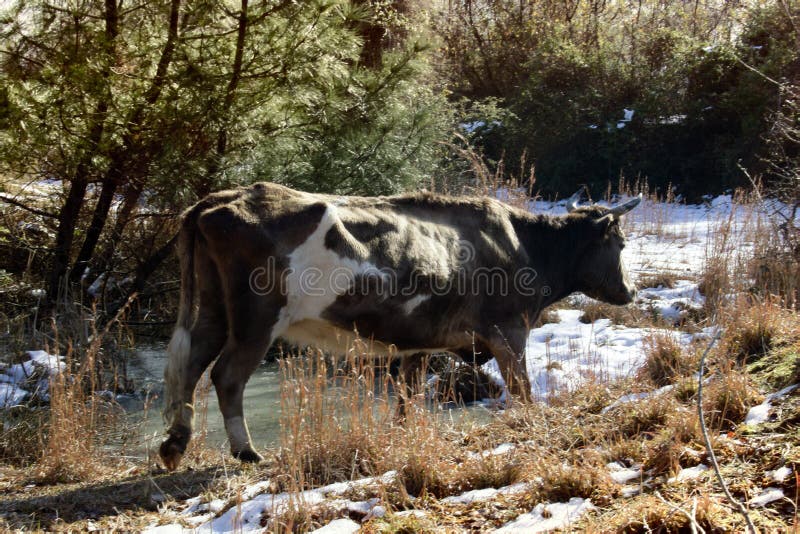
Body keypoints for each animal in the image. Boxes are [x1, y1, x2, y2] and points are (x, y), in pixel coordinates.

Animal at [159, 182, 641, 470]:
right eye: (619, 242)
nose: (631, 291)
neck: (524, 244)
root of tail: (221, 198)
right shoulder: (509, 331)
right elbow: (520, 386)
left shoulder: (419, 341)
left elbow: (407, 396)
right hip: (256, 321)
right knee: (226, 375)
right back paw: (245, 451)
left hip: (214, 312)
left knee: (190, 363)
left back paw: (175, 444)